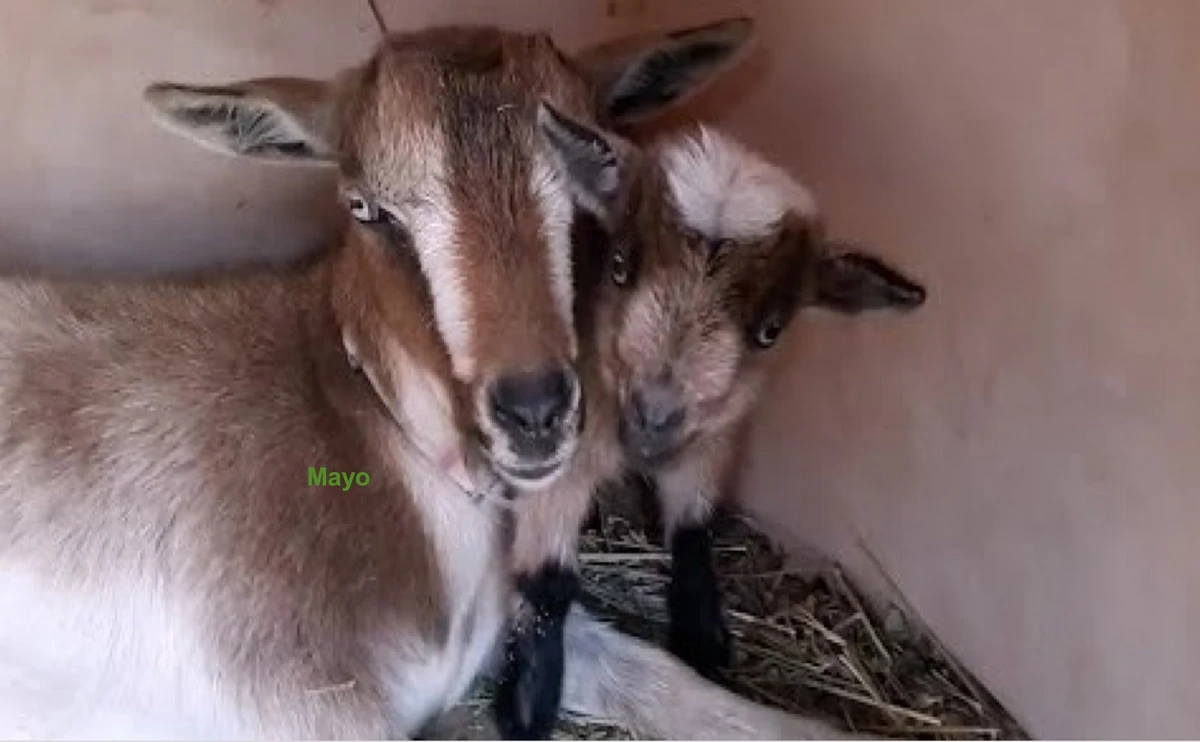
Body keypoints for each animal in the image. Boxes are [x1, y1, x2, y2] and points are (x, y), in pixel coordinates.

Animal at [499, 116, 927, 737]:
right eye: (620, 267)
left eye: (771, 330)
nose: (653, 416)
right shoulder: (560, 445)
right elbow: (547, 581)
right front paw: (529, 704)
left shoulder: (715, 429)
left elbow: (695, 524)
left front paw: (703, 636)